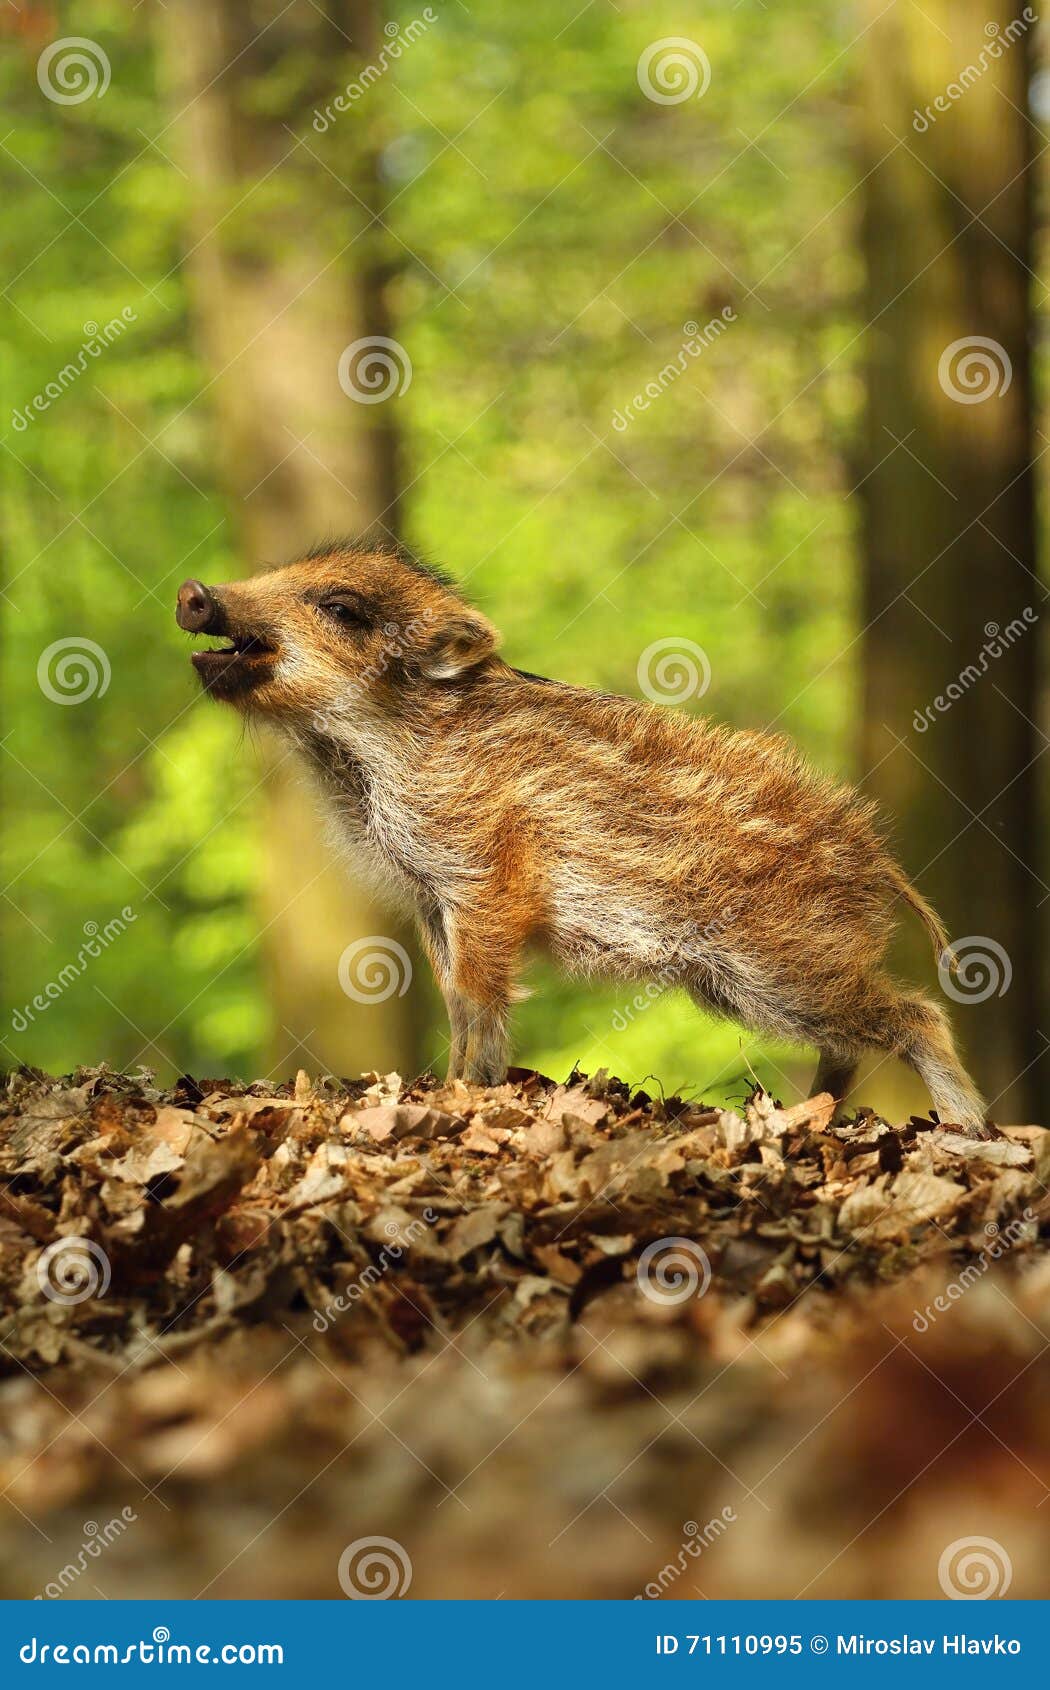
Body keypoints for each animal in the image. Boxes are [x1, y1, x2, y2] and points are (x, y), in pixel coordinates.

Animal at [175, 537, 990, 1136]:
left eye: (342, 607)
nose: (193, 591)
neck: (372, 757)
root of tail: (877, 858)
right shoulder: (433, 899)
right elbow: (454, 999)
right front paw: (448, 1087)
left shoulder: (483, 878)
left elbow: (478, 996)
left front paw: (465, 1095)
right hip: (740, 982)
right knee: (851, 1043)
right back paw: (807, 1115)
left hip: (782, 965)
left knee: (912, 1014)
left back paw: (967, 1127)